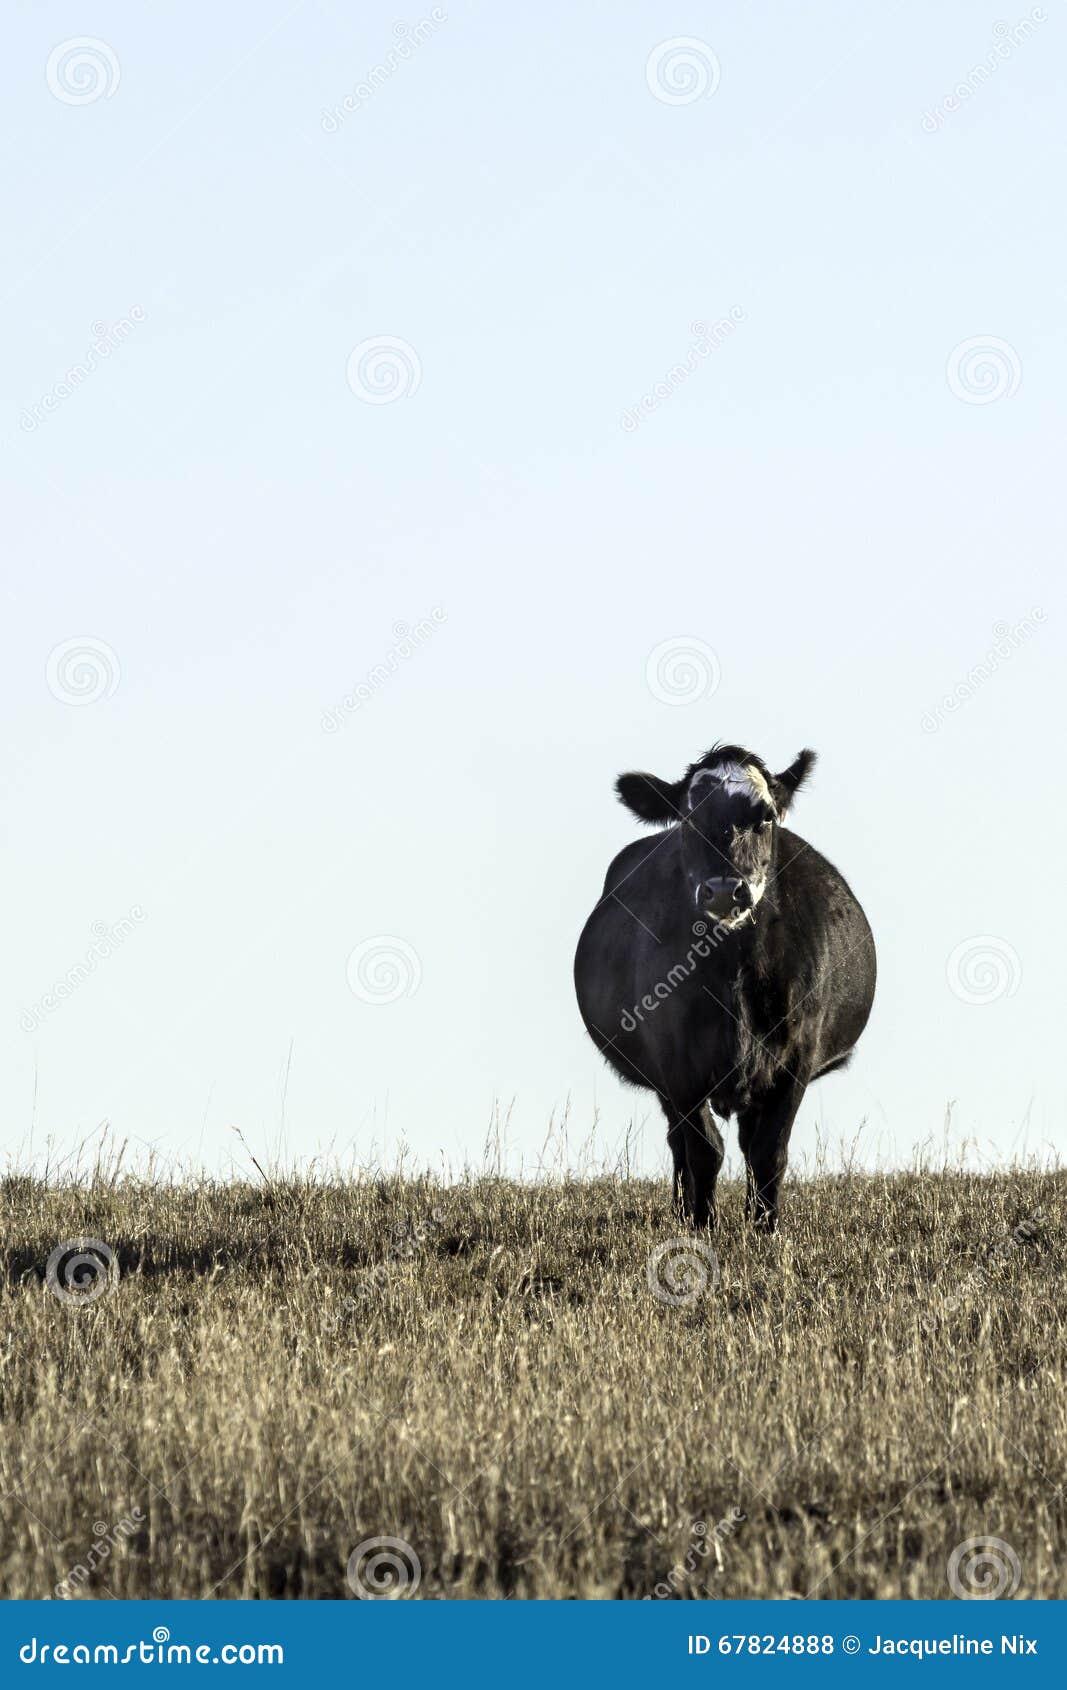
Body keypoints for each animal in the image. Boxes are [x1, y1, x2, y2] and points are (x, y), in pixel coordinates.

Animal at [573, 744, 876, 1232]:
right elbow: (703, 1149)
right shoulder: (675, 1062)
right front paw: (702, 1226)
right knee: (680, 1143)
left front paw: (766, 1230)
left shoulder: (797, 1055)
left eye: (766, 816)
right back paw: (684, 1213)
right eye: (688, 817)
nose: (722, 891)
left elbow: (768, 1152)